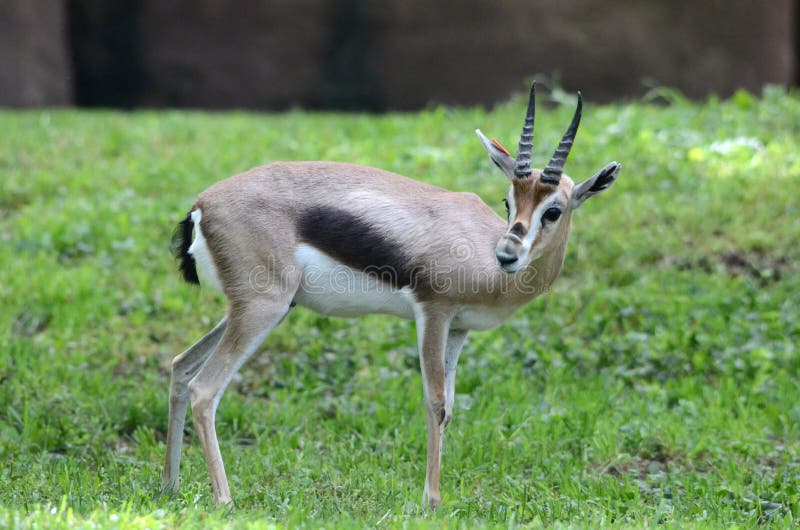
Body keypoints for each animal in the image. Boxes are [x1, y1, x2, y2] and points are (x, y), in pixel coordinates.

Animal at [162, 82, 621, 508]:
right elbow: (435, 402)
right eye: (507, 201)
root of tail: (202, 205)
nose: (507, 254)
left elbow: (451, 406)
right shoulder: (433, 314)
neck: (484, 261)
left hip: (256, 308)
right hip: (263, 308)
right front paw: (431, 501)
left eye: (553, 210)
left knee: (181, 367)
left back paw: (170, 485)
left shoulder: (459, 330)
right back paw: (224, 500)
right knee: (205, 389)